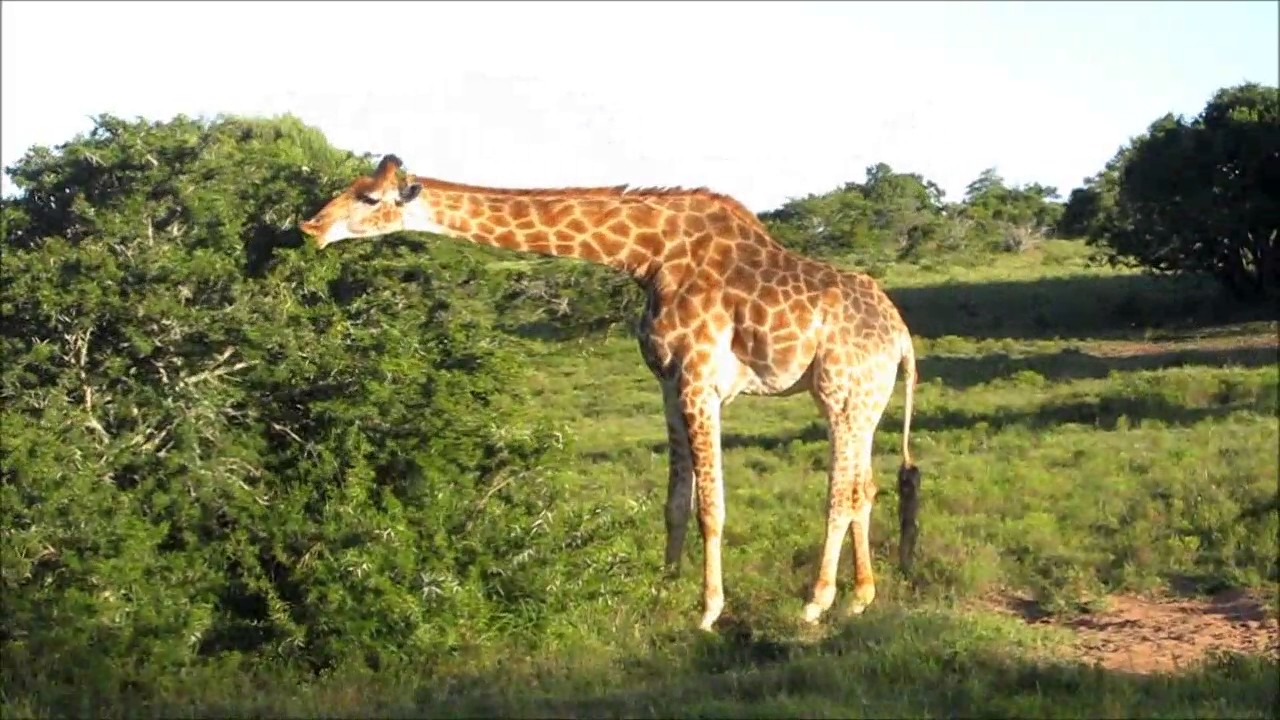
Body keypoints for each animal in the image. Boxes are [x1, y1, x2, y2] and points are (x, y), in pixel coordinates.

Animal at [298, 154, 923, 632]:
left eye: (369, 198)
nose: (310, 228)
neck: (648, 255)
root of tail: (902, 338)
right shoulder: (669, 382)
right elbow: (675, 503)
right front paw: (663, 593)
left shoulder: (701, 379)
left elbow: (712, 508)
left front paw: (708, 611)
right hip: (863, 400)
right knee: (864, 488)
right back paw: (860, 597)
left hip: (842, 392)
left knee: (840, 493)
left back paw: (816, 603)